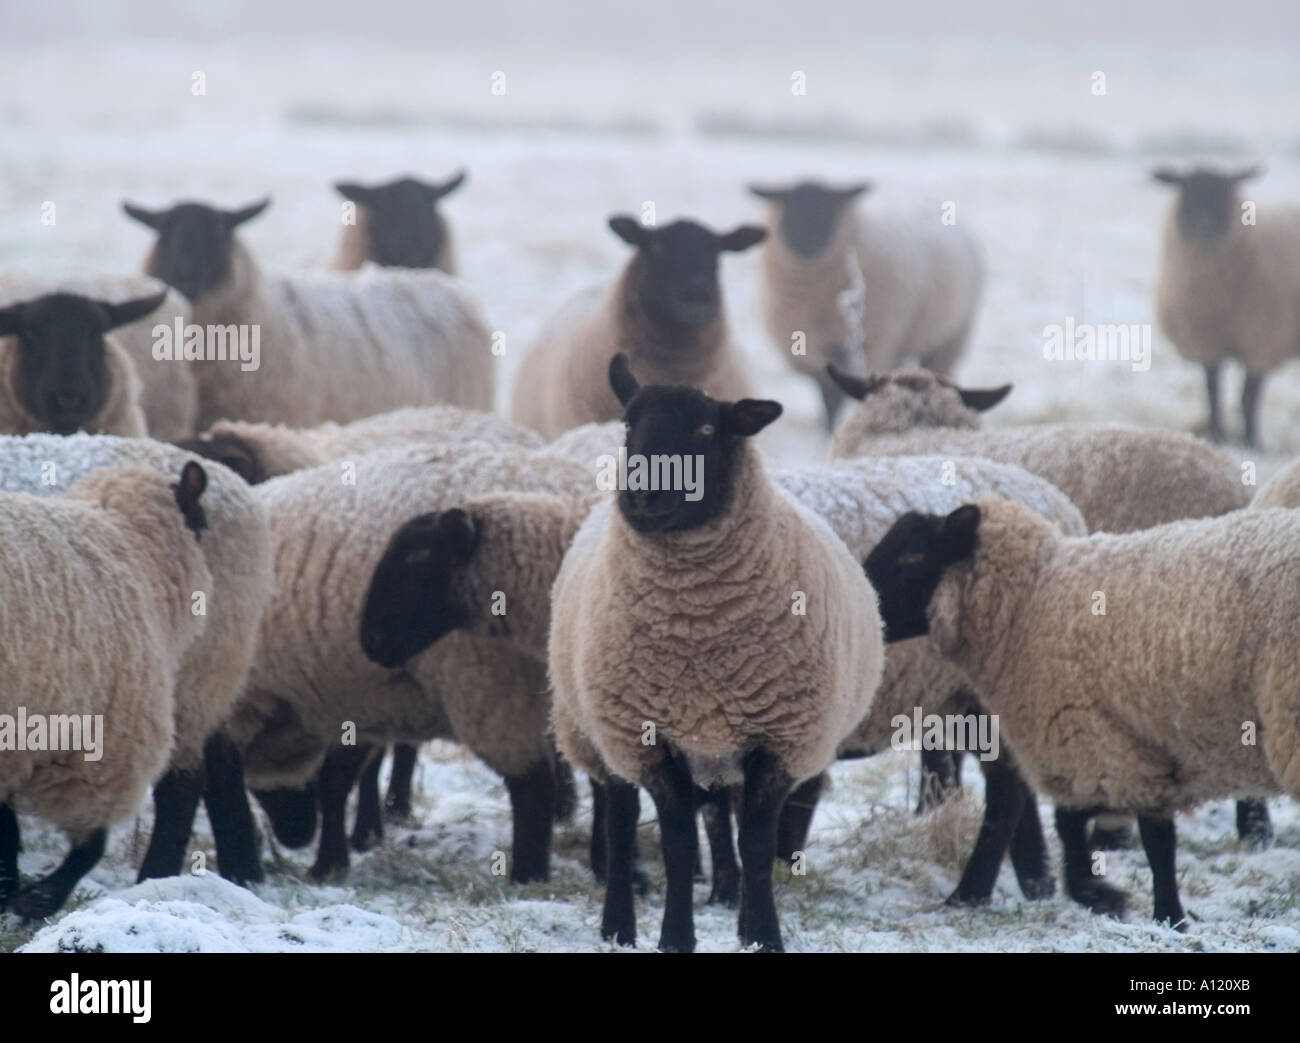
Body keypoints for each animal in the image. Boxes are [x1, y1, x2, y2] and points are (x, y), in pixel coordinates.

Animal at [226, 443, 600, 883]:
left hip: (488, 684)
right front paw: (331, 862)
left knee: (533, 783)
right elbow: (336, 783)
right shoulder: (355, 701)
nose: (296, 837)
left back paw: (529, 874)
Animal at [748, 180, 984, 429]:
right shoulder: (814, 354)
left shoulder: (872, 345)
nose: (807, 246)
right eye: (788, 209)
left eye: (829, 210)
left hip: (951, 337)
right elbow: (829, 398)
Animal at [865, 496, 1296, 928]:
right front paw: (1110, 896)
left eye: (912, 555)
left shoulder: (1102, 744)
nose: (867, 607)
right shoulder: (1126, 752)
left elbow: (1147, 839)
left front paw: (1148, 909)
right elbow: (1083, 823)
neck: (1030, 602)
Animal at [1152, 164, 1300, 448]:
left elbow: (1248, 398)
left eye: (1224, 191)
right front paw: (1216, 436)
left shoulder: (1262, 340)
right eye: (1186, 189)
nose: (1205, 225)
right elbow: (1213, 394)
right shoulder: (1206, 341)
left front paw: (1252, 442)